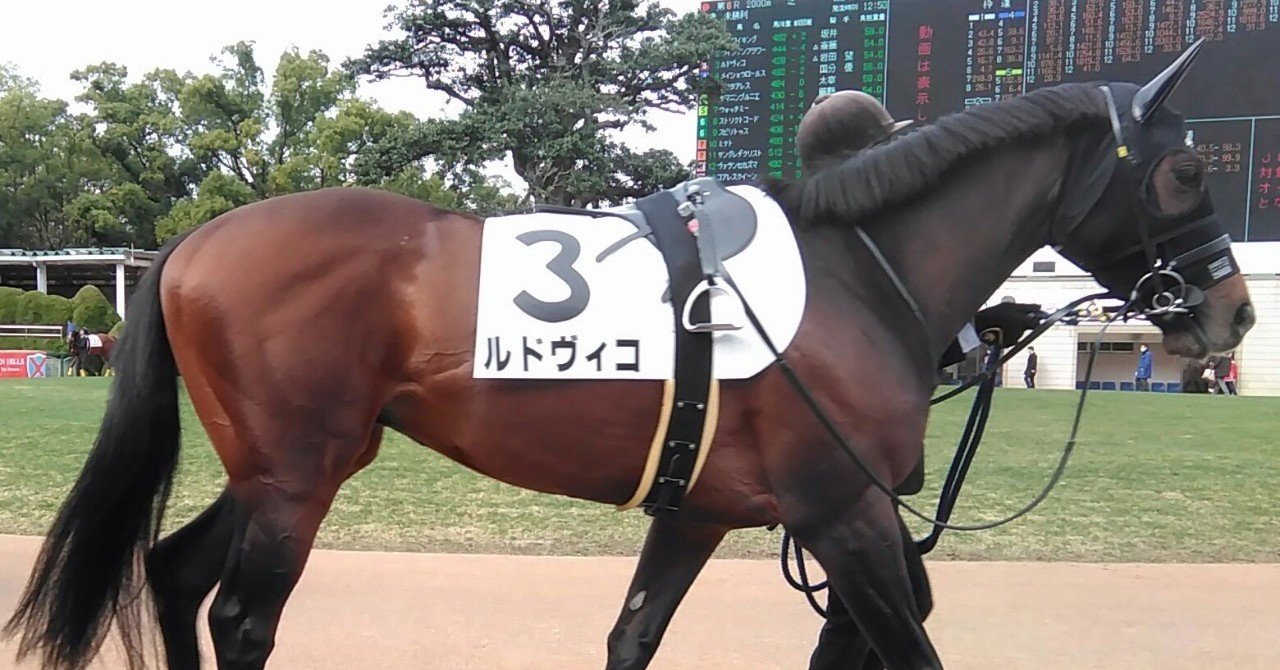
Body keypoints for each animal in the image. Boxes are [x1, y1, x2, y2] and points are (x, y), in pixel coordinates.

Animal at [4, 43, 1255, 670]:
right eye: (1186, 171)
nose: (1232, 313)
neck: (855, 275)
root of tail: (193, 239)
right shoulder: (843, 511)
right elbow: (905, 642)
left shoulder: (708, 510)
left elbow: (638, 634)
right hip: (296, 477)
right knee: (239, 619)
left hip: (290, 464)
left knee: (173, 574)